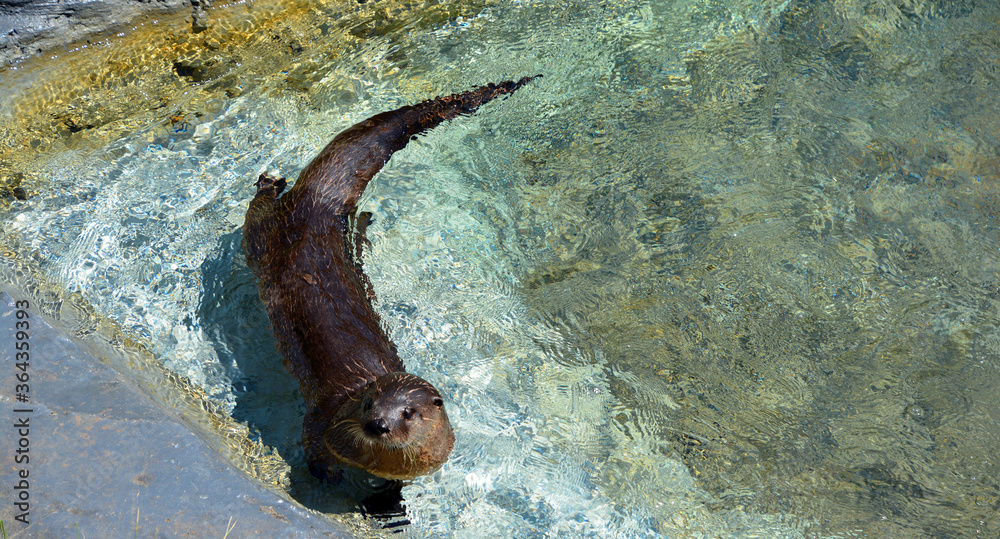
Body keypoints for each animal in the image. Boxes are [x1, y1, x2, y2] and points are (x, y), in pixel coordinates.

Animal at [242, 76, 538, 481]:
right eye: (369, 403)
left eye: (408, 413)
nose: (378, 424)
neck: (379, 465)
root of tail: (323, 205)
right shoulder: (321, 421)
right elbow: (314, 452)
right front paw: (329, 480)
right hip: (266, 238)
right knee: (255, 216)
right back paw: (269, 184)